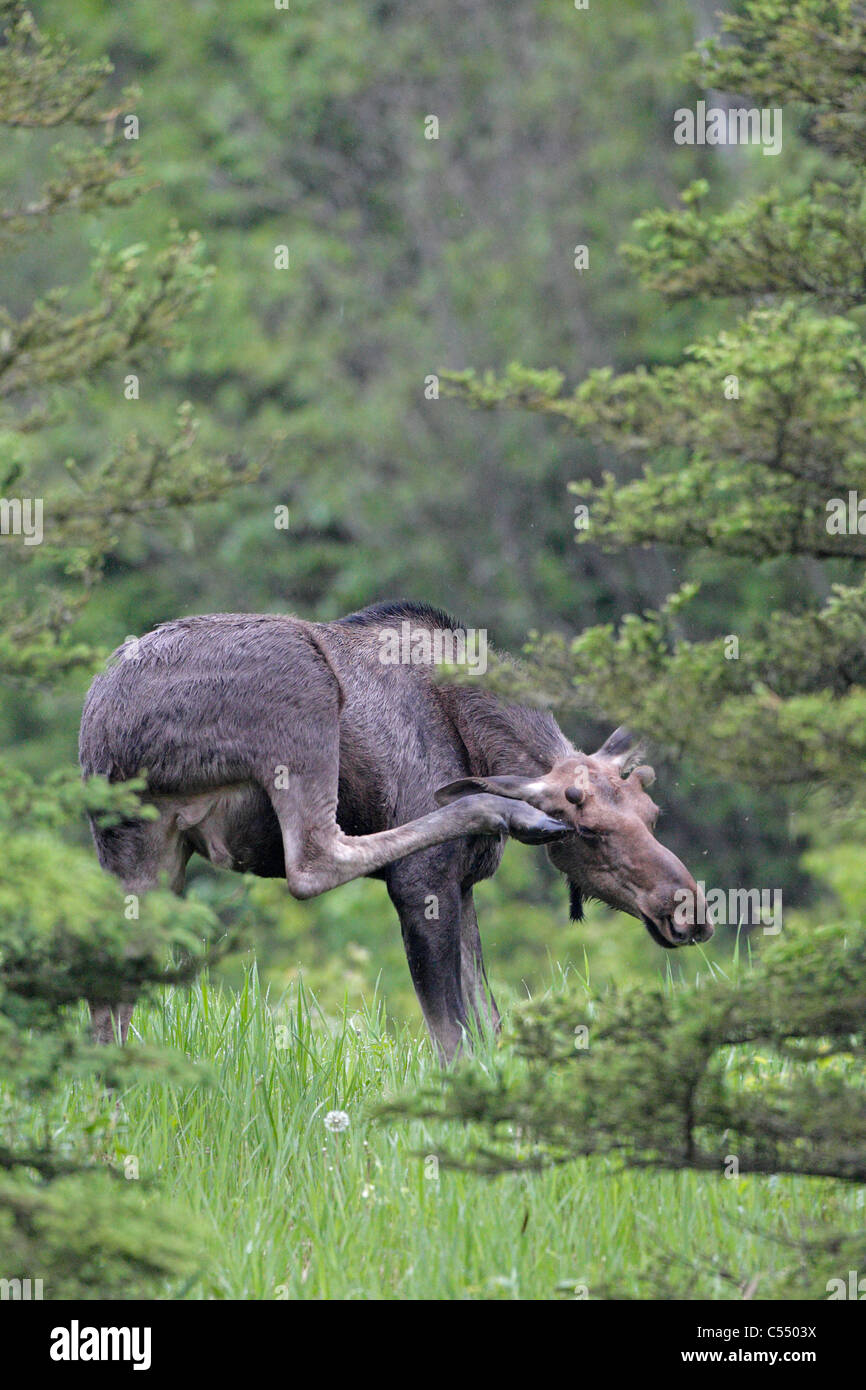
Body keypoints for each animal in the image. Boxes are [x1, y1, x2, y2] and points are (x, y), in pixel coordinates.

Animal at [79, 600, 711, 1059]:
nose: (688, 908)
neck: (476, 735)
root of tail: (101, 728)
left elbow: (490, 1023)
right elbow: (451, 1037)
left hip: (141, 844)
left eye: (653, 816)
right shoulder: (424, 883)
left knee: (114, 986)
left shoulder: (463, 884)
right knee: (313, 861)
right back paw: (497, 807)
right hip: (304, 700)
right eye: (588, 830)